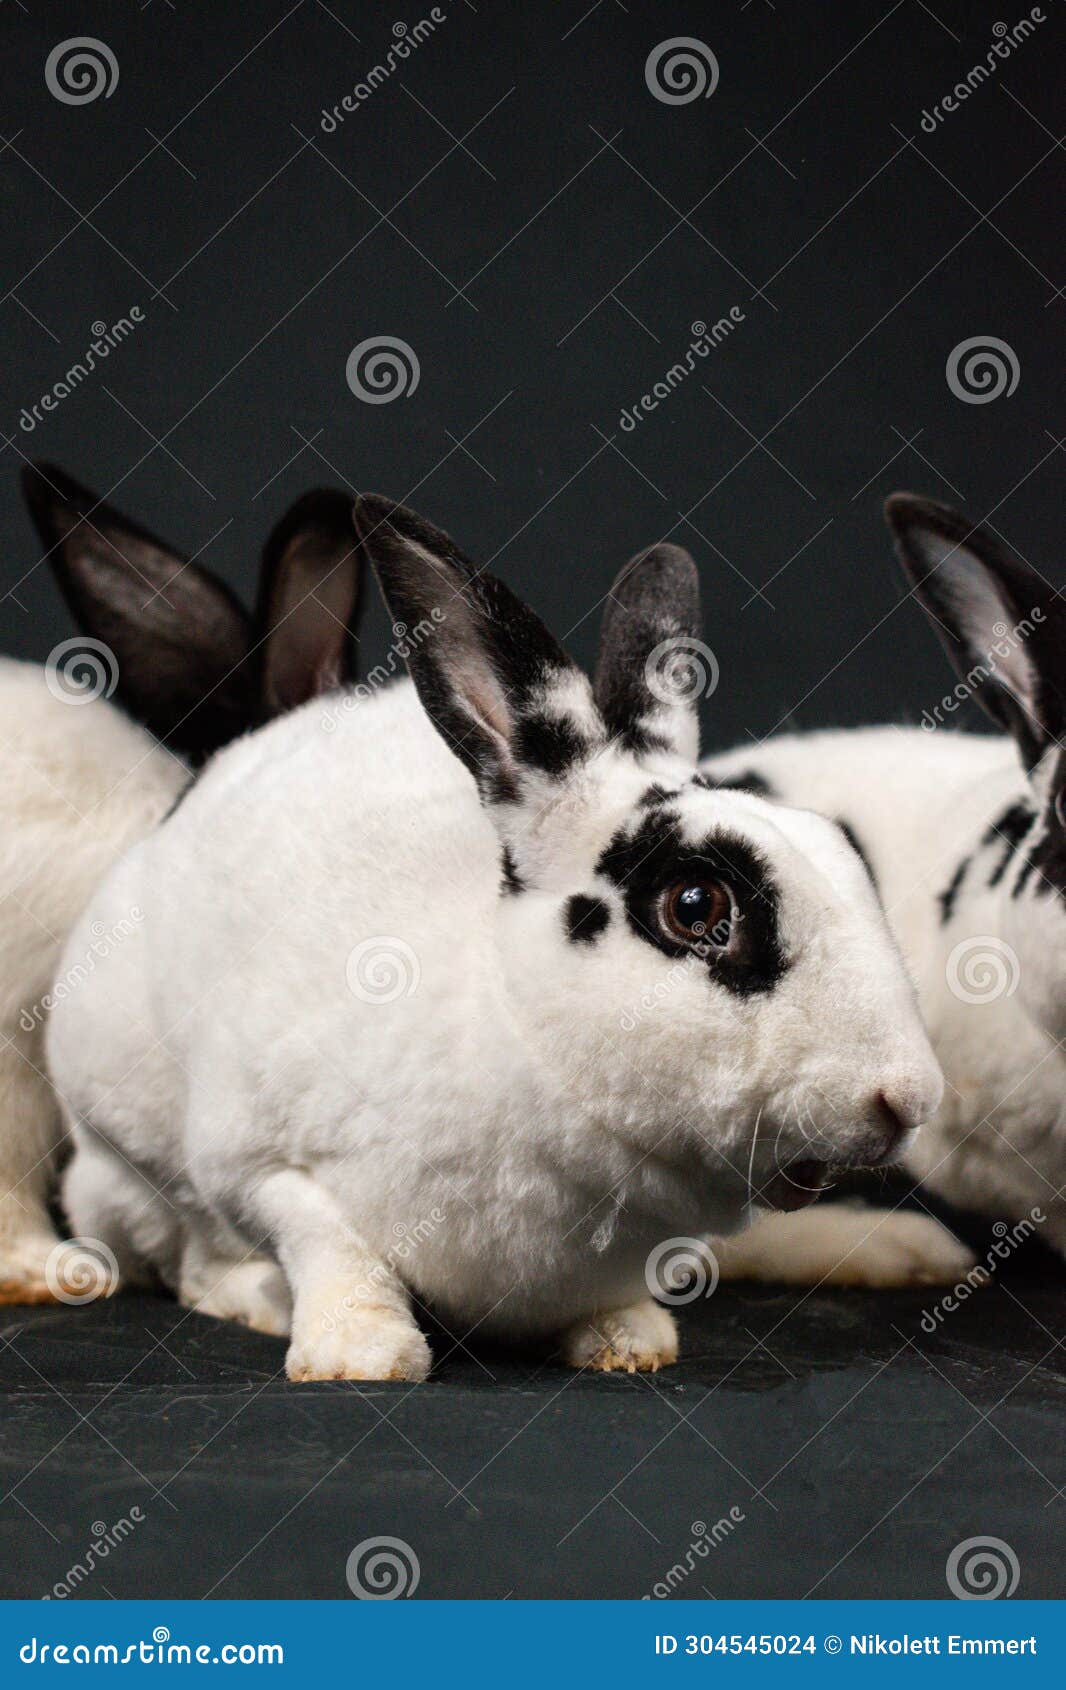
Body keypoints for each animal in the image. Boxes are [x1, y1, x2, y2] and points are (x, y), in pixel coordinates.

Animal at [45, 491, 947, 1381]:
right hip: (122, 1159)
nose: (909, 1097)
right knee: (186, 1251)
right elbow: (322, 1237)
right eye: (695, 906)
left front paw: (626, 1340)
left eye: (840, 847)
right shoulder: (252, 1160)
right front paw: (361, 1352)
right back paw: (259, 1299)